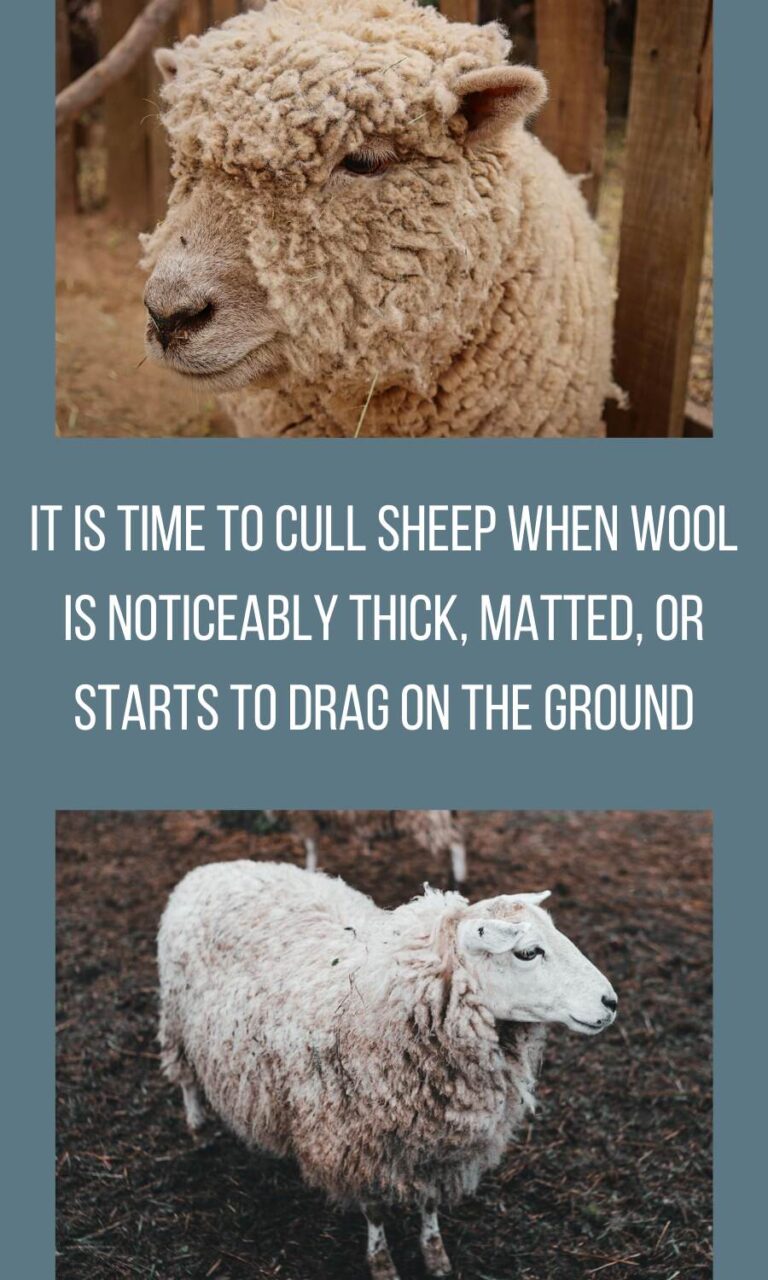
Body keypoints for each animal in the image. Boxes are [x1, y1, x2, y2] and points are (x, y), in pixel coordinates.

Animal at [158, 861, 617, 1278]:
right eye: (527, 952)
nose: (610, 1002)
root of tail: (211, 869)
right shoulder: (356, 1144)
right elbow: (375, 1209)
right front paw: (382, 1263)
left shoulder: (438, 1146)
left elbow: (429, 1202)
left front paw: (435, 1255)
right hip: (177, 1019)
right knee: (185, 1079)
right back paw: (198, 1127)